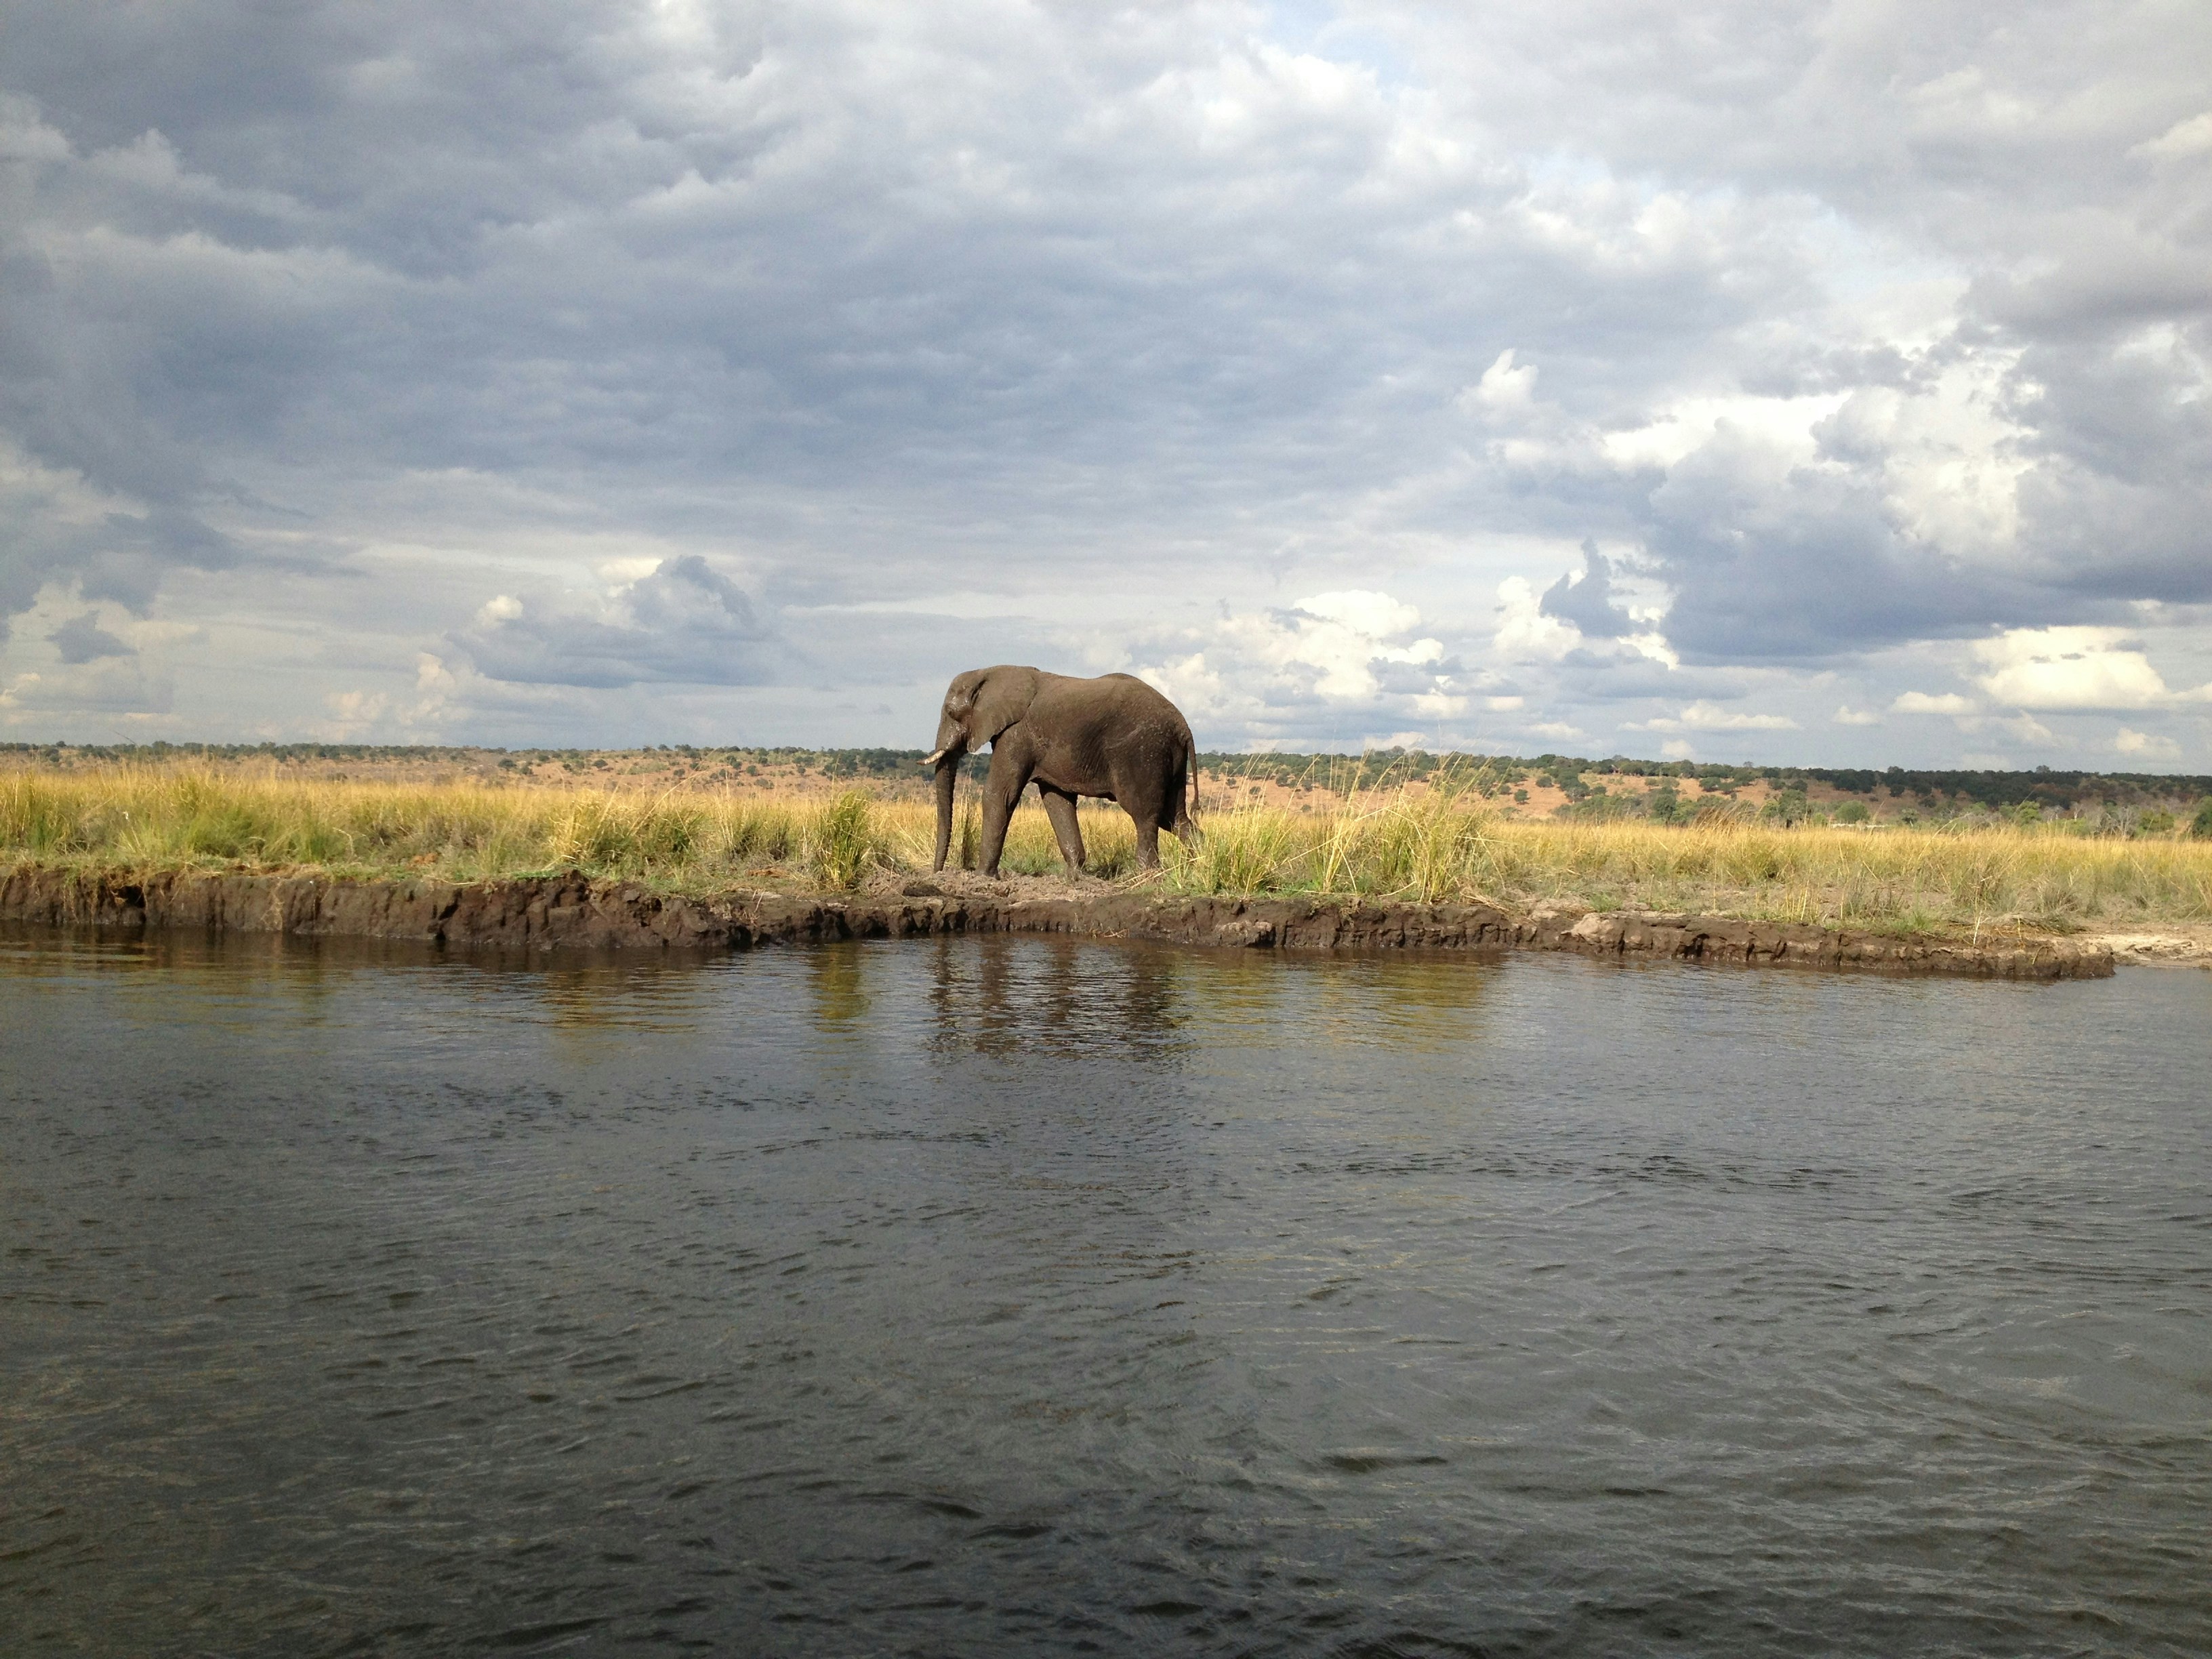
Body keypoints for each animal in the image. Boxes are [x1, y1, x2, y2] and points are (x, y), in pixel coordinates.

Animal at [923, 666, 1202, 878]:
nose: (938, 872)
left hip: (1143, 752)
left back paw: (1146, 874)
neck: (990, 672)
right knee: (1174, 816)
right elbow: (1057, 802)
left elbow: (999, 795)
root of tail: (1183, 725)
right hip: (1168, 756)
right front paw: (1073, 877)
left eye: (951, 713)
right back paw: (1199, 864)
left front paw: (983, 877)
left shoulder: (1016, 734)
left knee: (1144, 814)